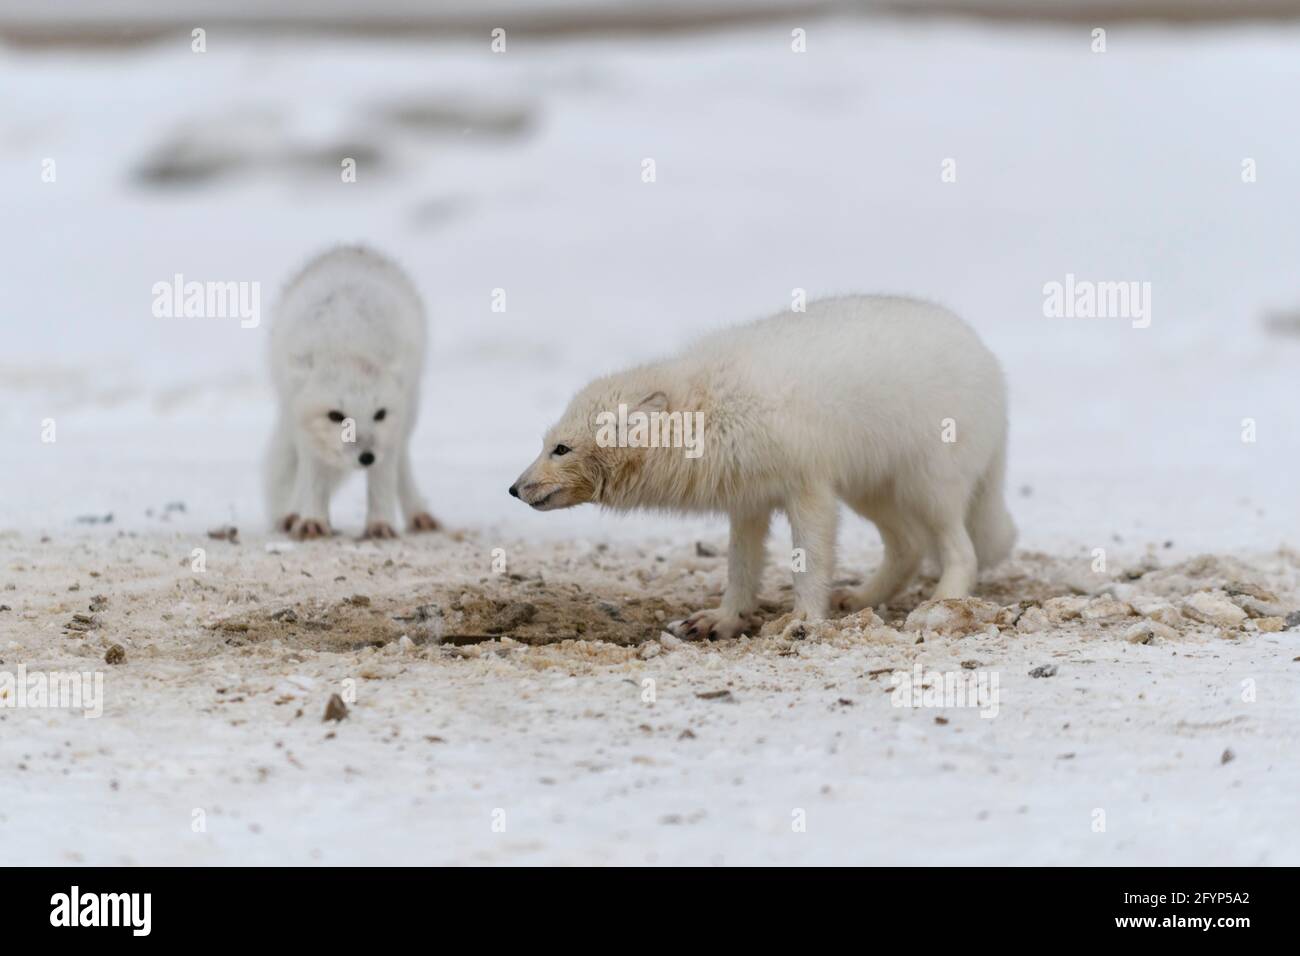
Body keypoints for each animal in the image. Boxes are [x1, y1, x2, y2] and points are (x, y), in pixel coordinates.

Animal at [265, 245, 439, 540]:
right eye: (336, 415)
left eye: (379, 413)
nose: (366, 457)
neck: (348, 346)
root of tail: (353, 248)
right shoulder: (307, 429)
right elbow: (313, 478)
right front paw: (313, 520)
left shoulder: (388, 435)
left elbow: (383, 480)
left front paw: (380, 524)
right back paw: (294, 514)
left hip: (408, 414)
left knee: (402, 465)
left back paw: (418, 513)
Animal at [509, 296, 1016, 639]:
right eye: (547, 445)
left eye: (561, 449)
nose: (514, 489)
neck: (710, 409)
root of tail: (989, 360)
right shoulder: (747, 500)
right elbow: (741, 568)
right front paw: (724, 619)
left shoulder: (809, 489)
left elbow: (809, 563)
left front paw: (804, 619)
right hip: (871, 491)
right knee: (908, 548)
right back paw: (861, 598)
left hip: (927, 487)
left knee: (961, 550)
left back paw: (943, 601)